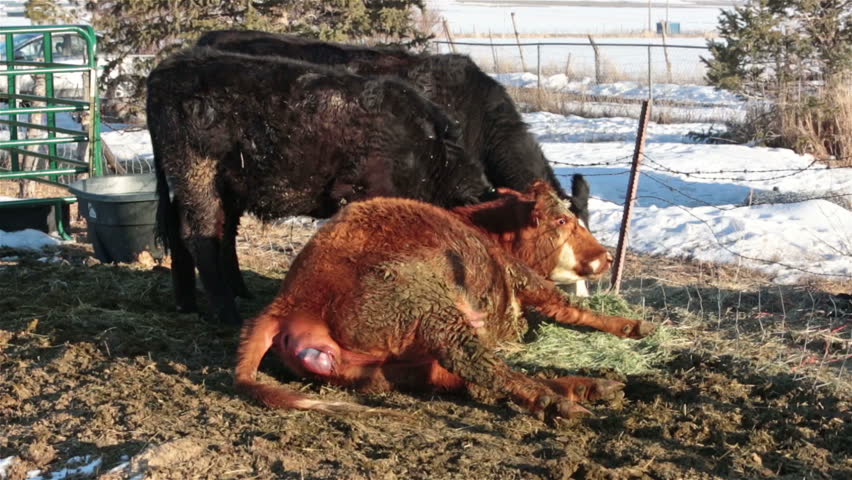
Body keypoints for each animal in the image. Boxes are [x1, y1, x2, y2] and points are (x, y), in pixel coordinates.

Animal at [147, 47, 495, 325]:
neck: (431, 155)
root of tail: (173, 63)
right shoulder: (362, 192)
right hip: (197, 173)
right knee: (200, 235)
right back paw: (227, 315)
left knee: (185, 232)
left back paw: (187, 304)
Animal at [236, 182, 656, 420]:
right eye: (562, 222)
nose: (607, 257)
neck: (487, 231)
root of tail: (288, 300)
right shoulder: (522, 276)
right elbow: (566, 307)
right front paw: (636, 326)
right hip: (430, 308)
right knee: (478, 364)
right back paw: (562, 401)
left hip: (382, 370)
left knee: (463, 378)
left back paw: (592, 387)